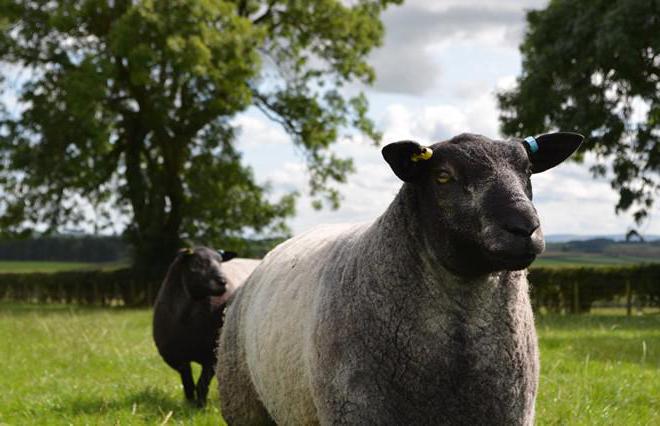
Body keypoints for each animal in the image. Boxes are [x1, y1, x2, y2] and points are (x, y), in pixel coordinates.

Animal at [153, 246, 260, 406]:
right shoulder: (177, 357)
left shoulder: (212, 356)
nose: (223, 281)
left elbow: (202, 383)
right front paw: (189, 403)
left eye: (220, 262)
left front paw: (200, 406)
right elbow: (188, 383)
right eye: (196, 263)